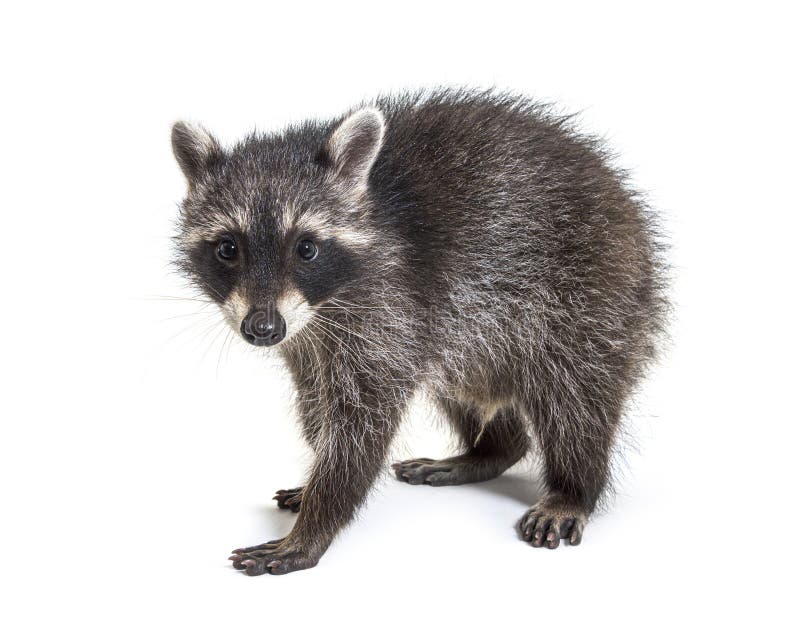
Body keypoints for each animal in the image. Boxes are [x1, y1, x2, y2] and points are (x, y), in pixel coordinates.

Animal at [171, 89, 668, 575]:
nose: (263, 329)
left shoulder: (390, 305)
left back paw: (574, 487)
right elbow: (316, 404)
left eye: (306, 248)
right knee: (460, 376)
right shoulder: (310, 337)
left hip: (591, 297)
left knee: (576, 401)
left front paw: (318, 518)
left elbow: (363, 421)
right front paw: (313, 478)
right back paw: (492, 450)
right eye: (228, 248)